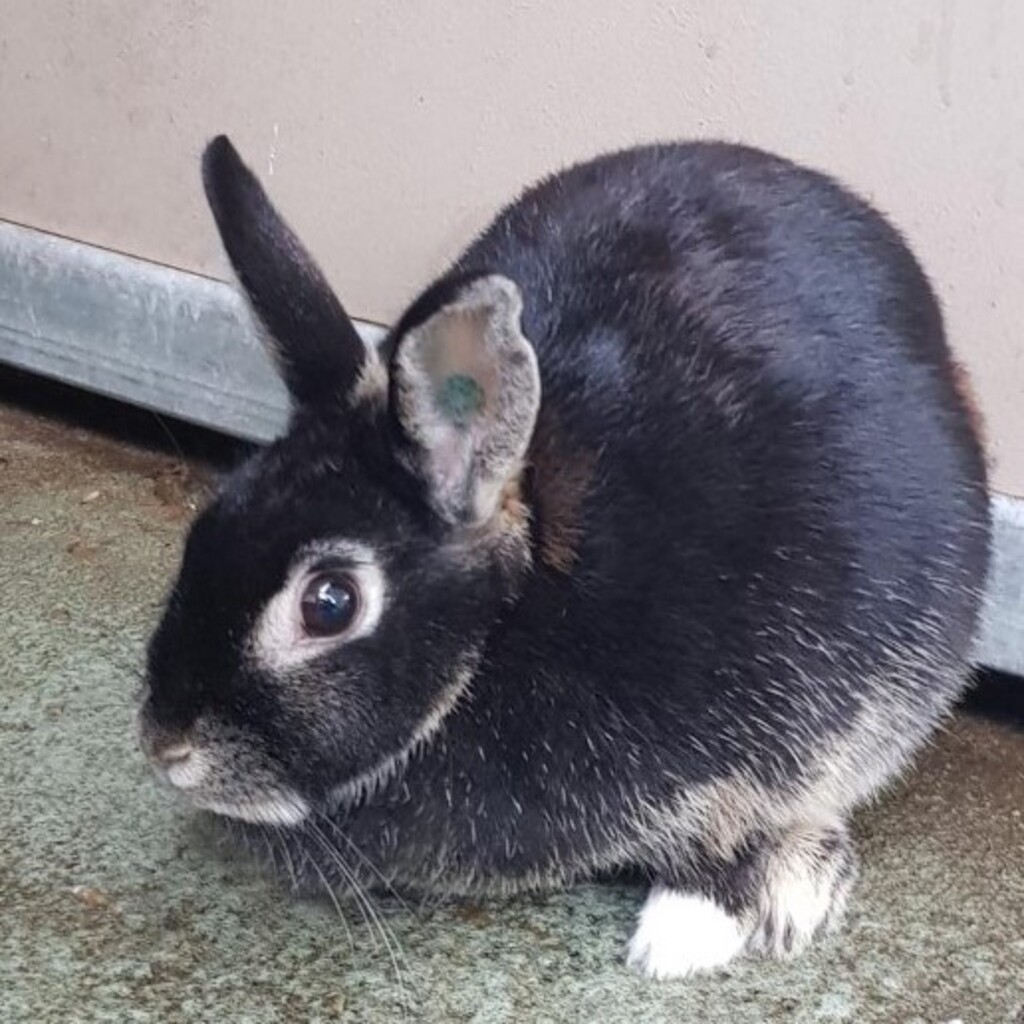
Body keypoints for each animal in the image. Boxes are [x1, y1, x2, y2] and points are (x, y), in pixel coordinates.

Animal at [138, 134, 990, 979]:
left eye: (330, 603)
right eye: (207, 523)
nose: (165, 746)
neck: (509, 619)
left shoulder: (780, 726)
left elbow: (731, 831)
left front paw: (680, 939)